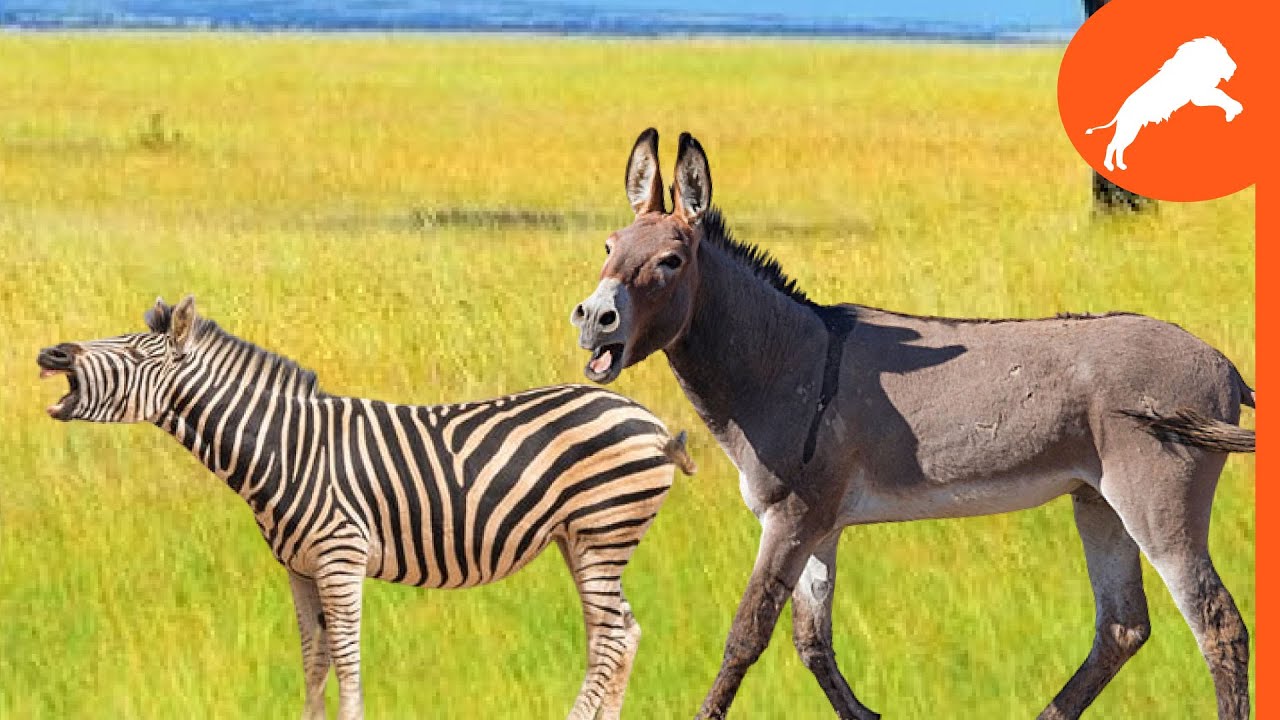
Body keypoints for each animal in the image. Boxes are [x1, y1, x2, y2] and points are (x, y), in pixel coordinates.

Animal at [37, 295, 695, 720]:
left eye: (135, 354)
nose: (53, 355)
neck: (286, 448)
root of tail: (650, 420)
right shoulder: (299, 568)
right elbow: (314, 661)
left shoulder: (340, 557)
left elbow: (348, 664)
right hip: (584, 539)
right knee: (620, 632)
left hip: (603, 529)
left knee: (609, 637)